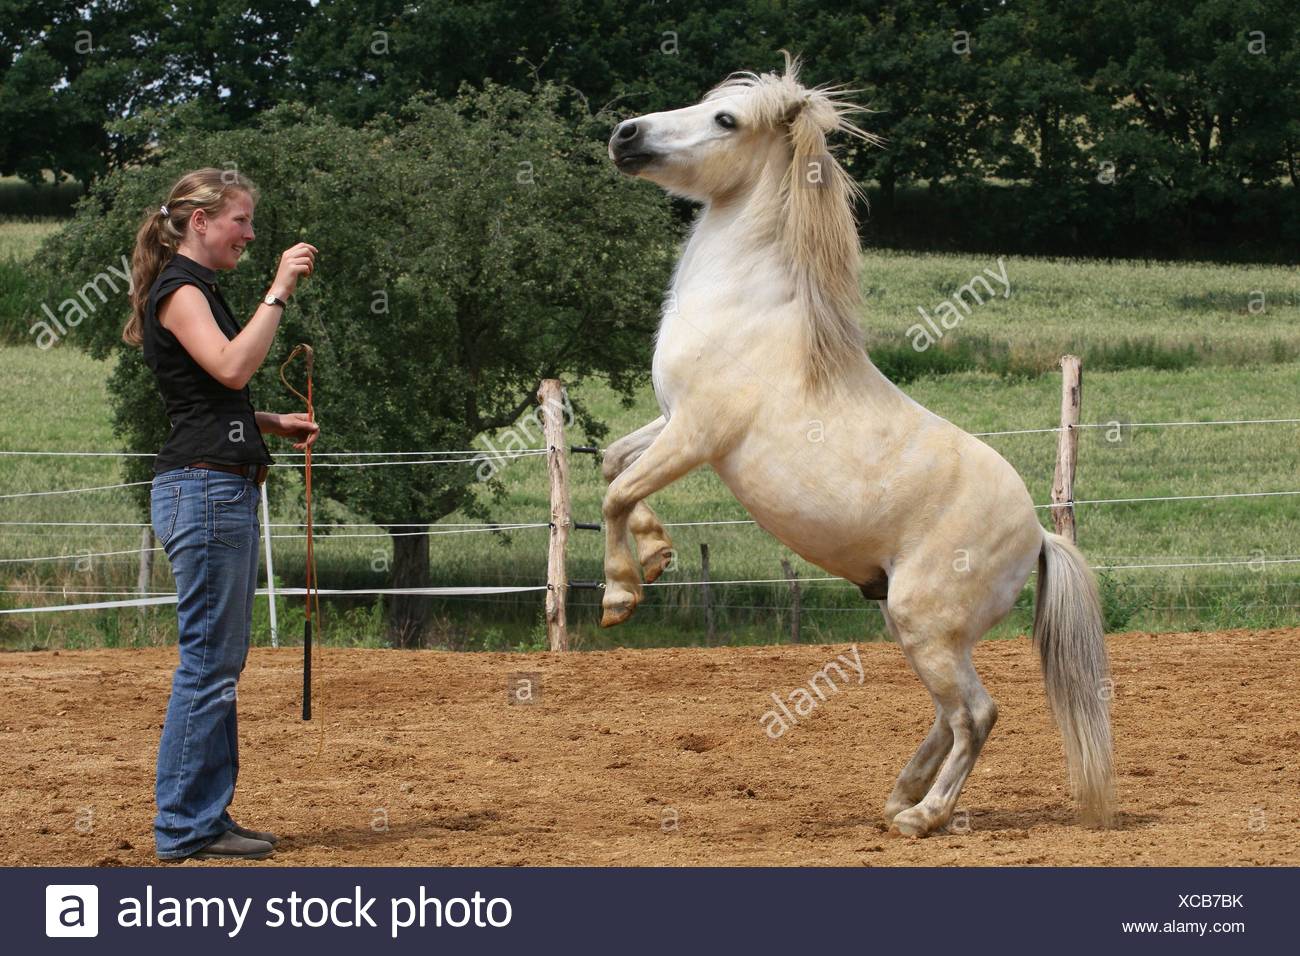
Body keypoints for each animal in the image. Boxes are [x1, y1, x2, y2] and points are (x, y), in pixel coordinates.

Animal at [600, 54, 1113, 837]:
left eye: (725, 119)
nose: (625, 134)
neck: (749, 308)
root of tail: (1038, 537)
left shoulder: (697, 434)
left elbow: (616, 490)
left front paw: (620, 594)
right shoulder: (673, 422)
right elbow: (614, 461)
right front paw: (657, 554)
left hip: (925, 625)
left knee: (977, 714)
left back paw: (922, 817)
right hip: (920, 629)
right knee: (947, 714)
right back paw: (900, 795)